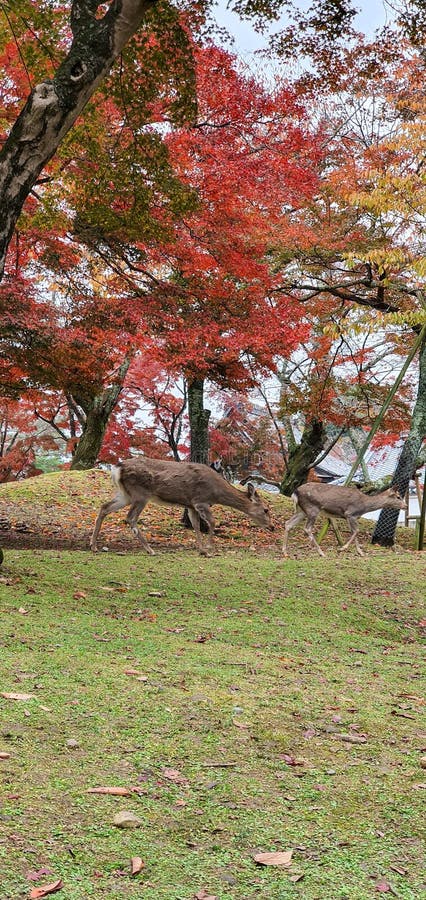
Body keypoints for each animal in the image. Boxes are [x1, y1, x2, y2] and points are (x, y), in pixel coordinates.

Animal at [90, 457, 274, 556]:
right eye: (266, 509)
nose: (272, 527)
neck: (217, 492)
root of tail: (117, 468)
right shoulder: (201, 500)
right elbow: (212, 522)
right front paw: (210, 548)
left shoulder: (191, 504)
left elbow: (196, 525)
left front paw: (202, 550)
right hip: (140, 494)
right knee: (130, 518)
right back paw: (150, 549)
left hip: (126, 495)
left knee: (104, 507)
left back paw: (94, 546)